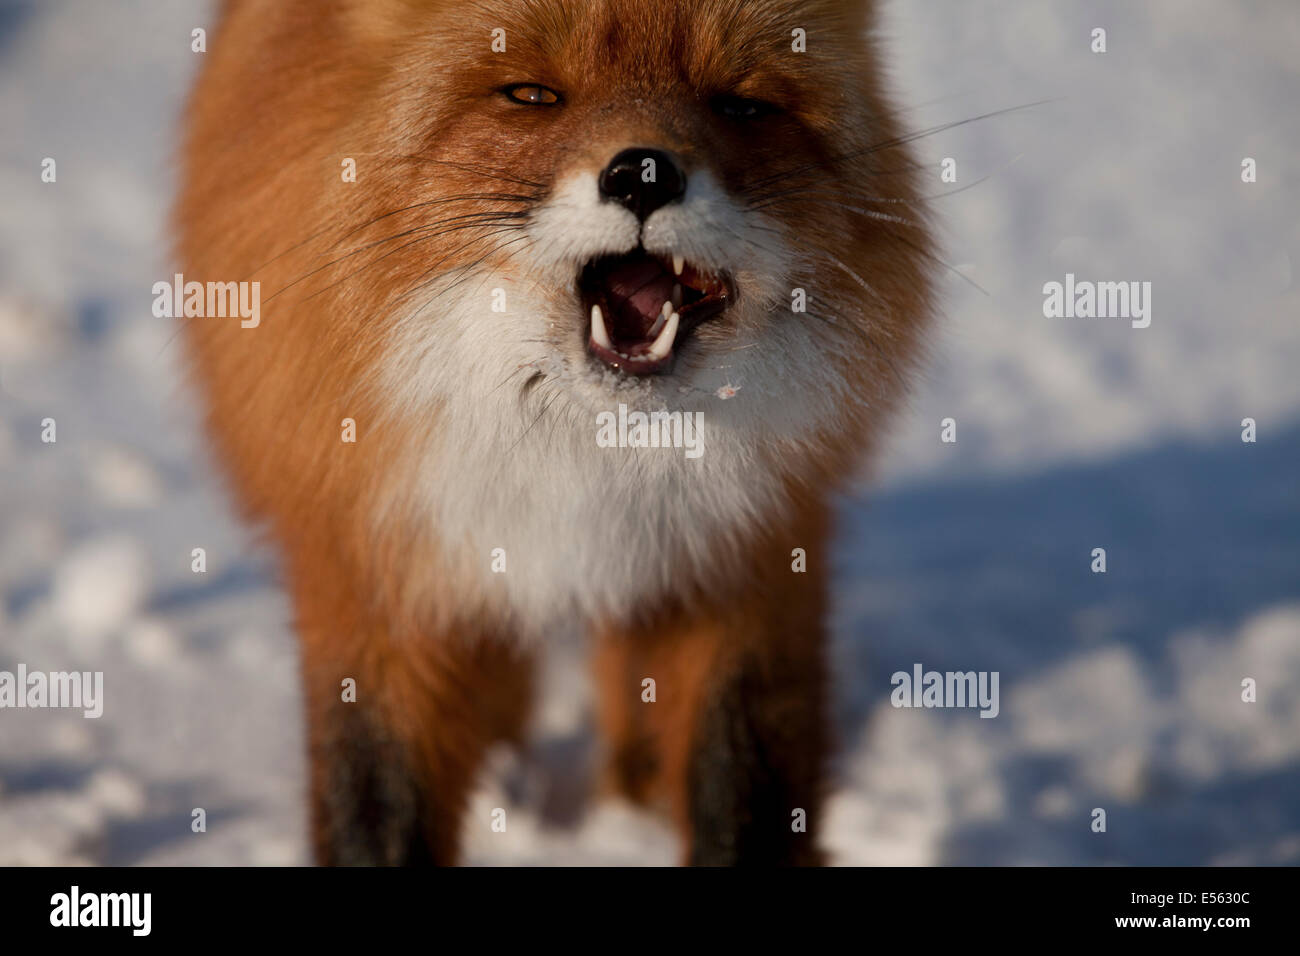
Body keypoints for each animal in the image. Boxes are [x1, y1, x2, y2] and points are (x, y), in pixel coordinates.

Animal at [177, 0, 935, 865]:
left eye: (740, 105)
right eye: (533, 94)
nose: (642, 173)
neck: (581, 458)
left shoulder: (749, 556)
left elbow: (742, 787)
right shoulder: (372, 567)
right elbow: (376, 799)